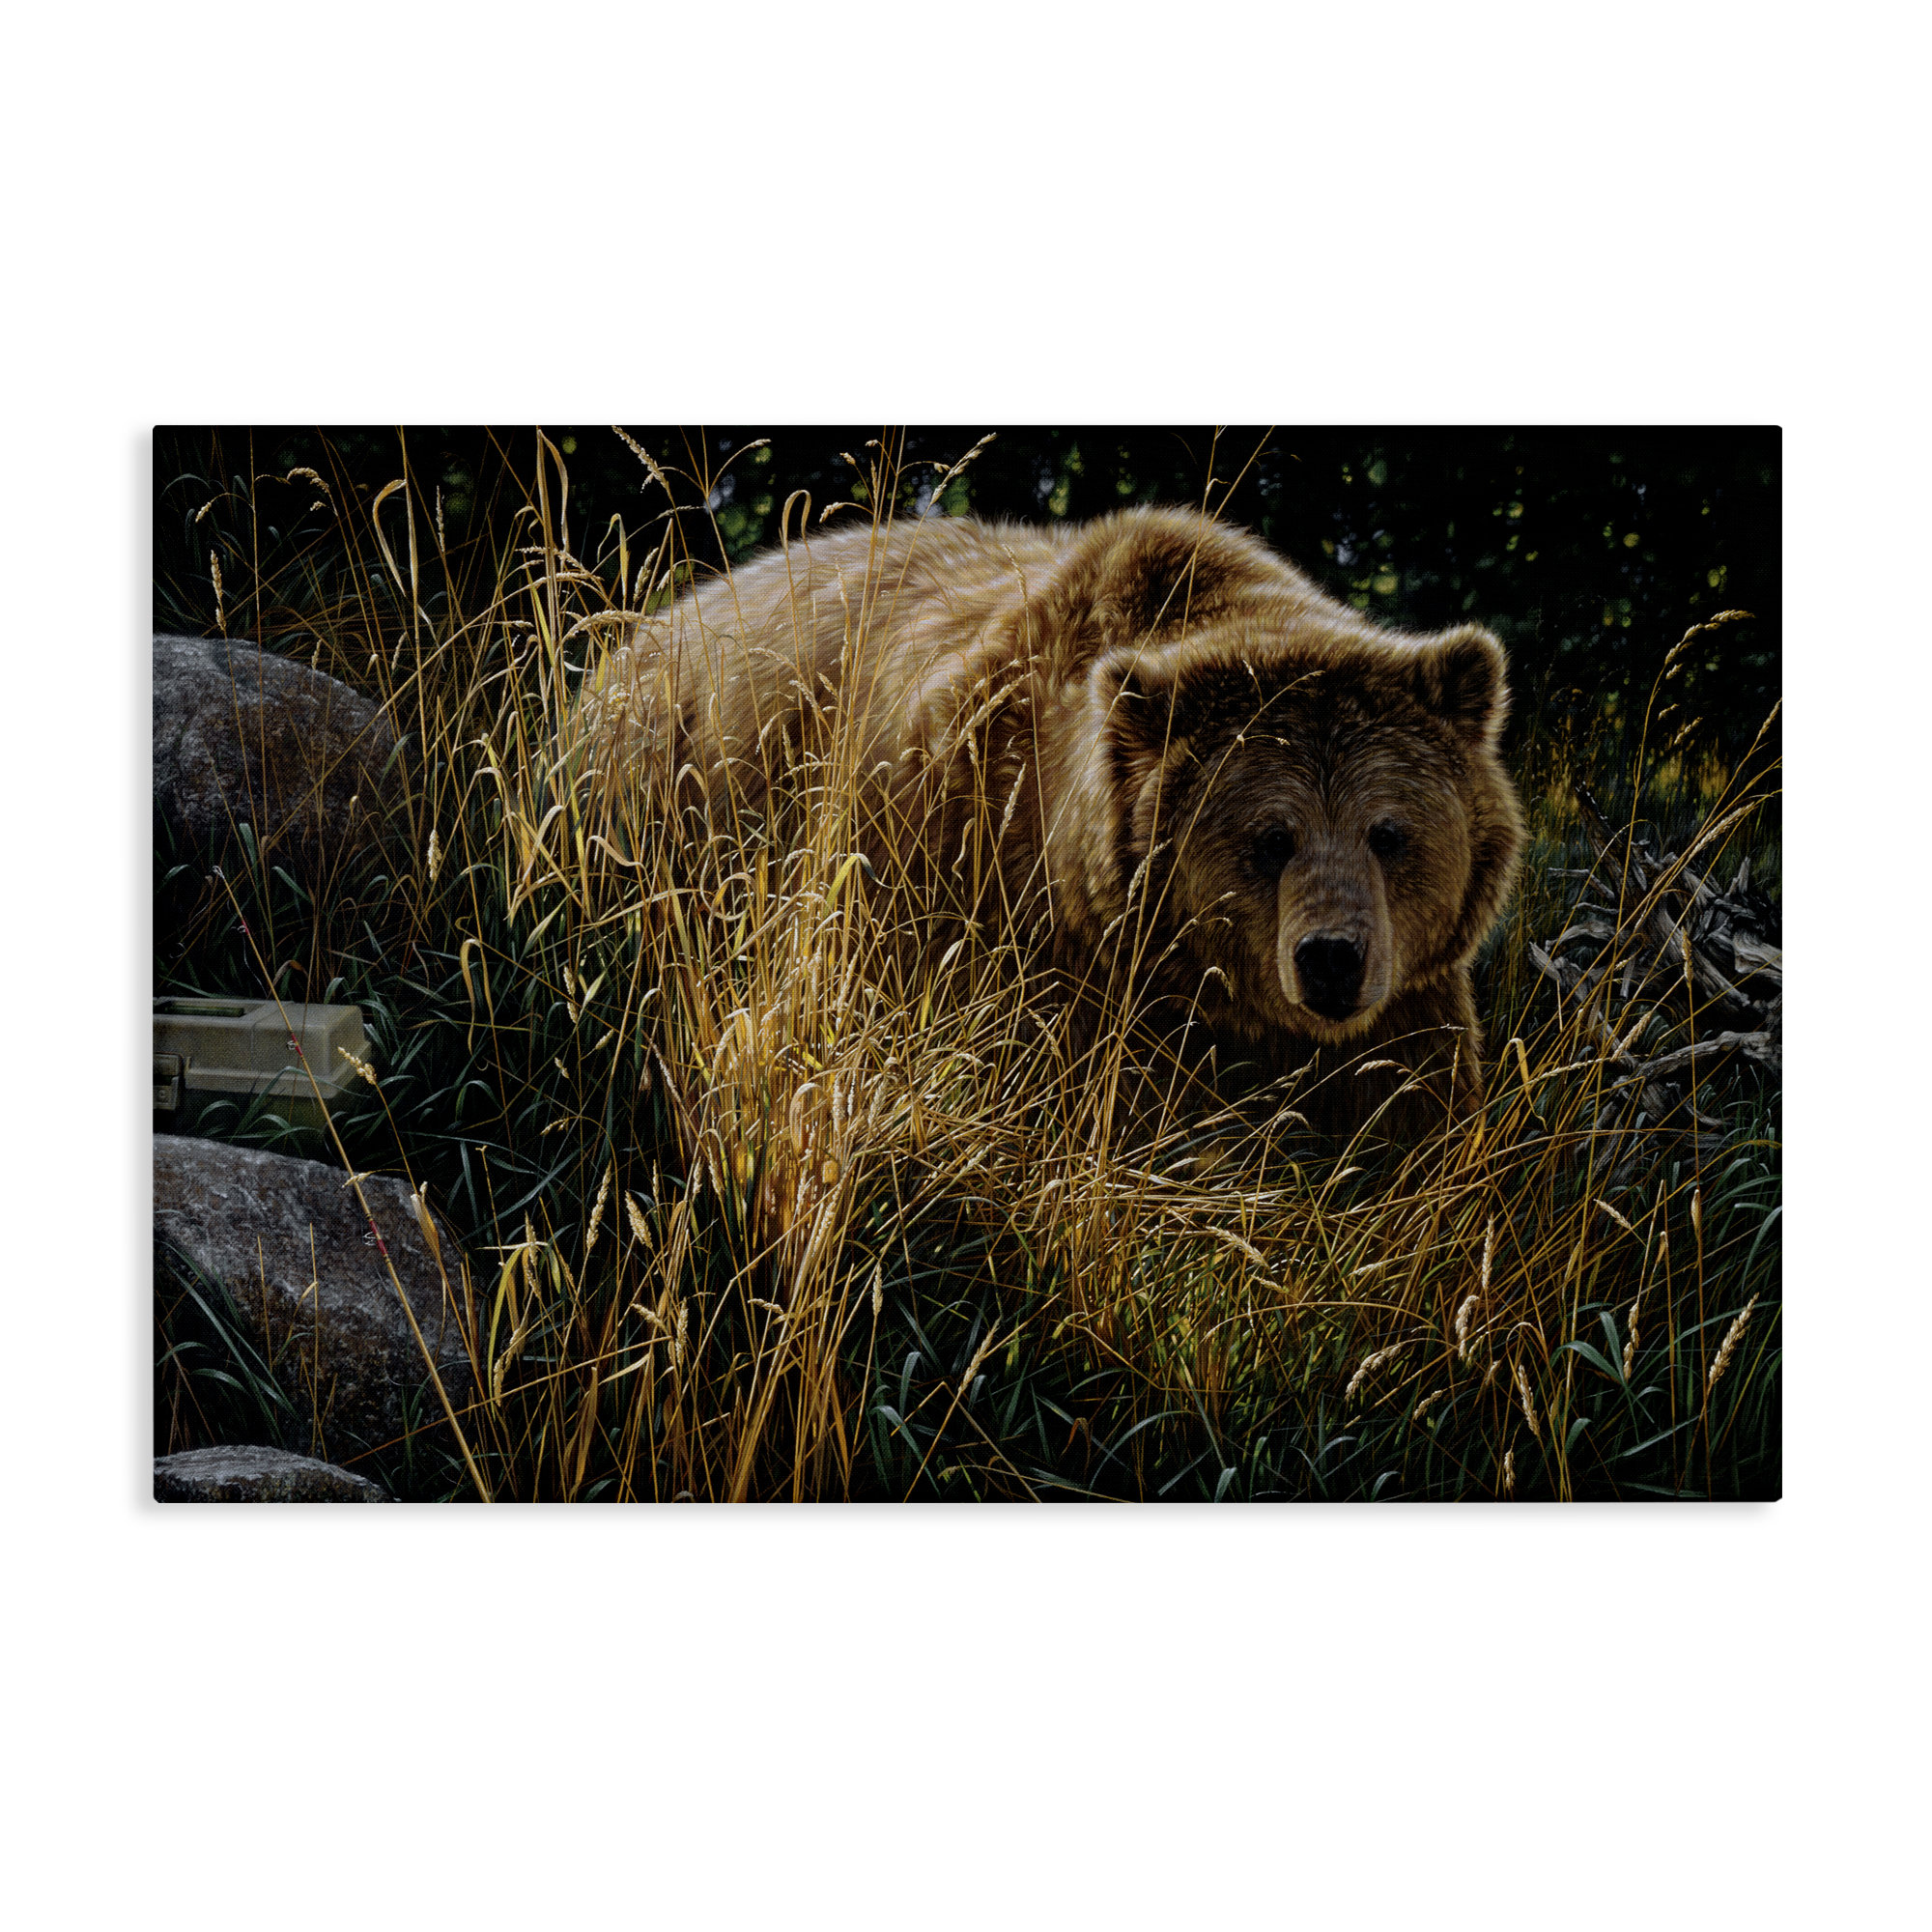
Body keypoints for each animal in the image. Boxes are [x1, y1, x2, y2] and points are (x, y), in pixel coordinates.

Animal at [572, 504, 1525, 1140]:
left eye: (1389, 831)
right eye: (1270, 838)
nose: (1331, 959)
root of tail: (630, 642)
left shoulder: (1408, 1004)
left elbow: (1413, 1125)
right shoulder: (993, 908)